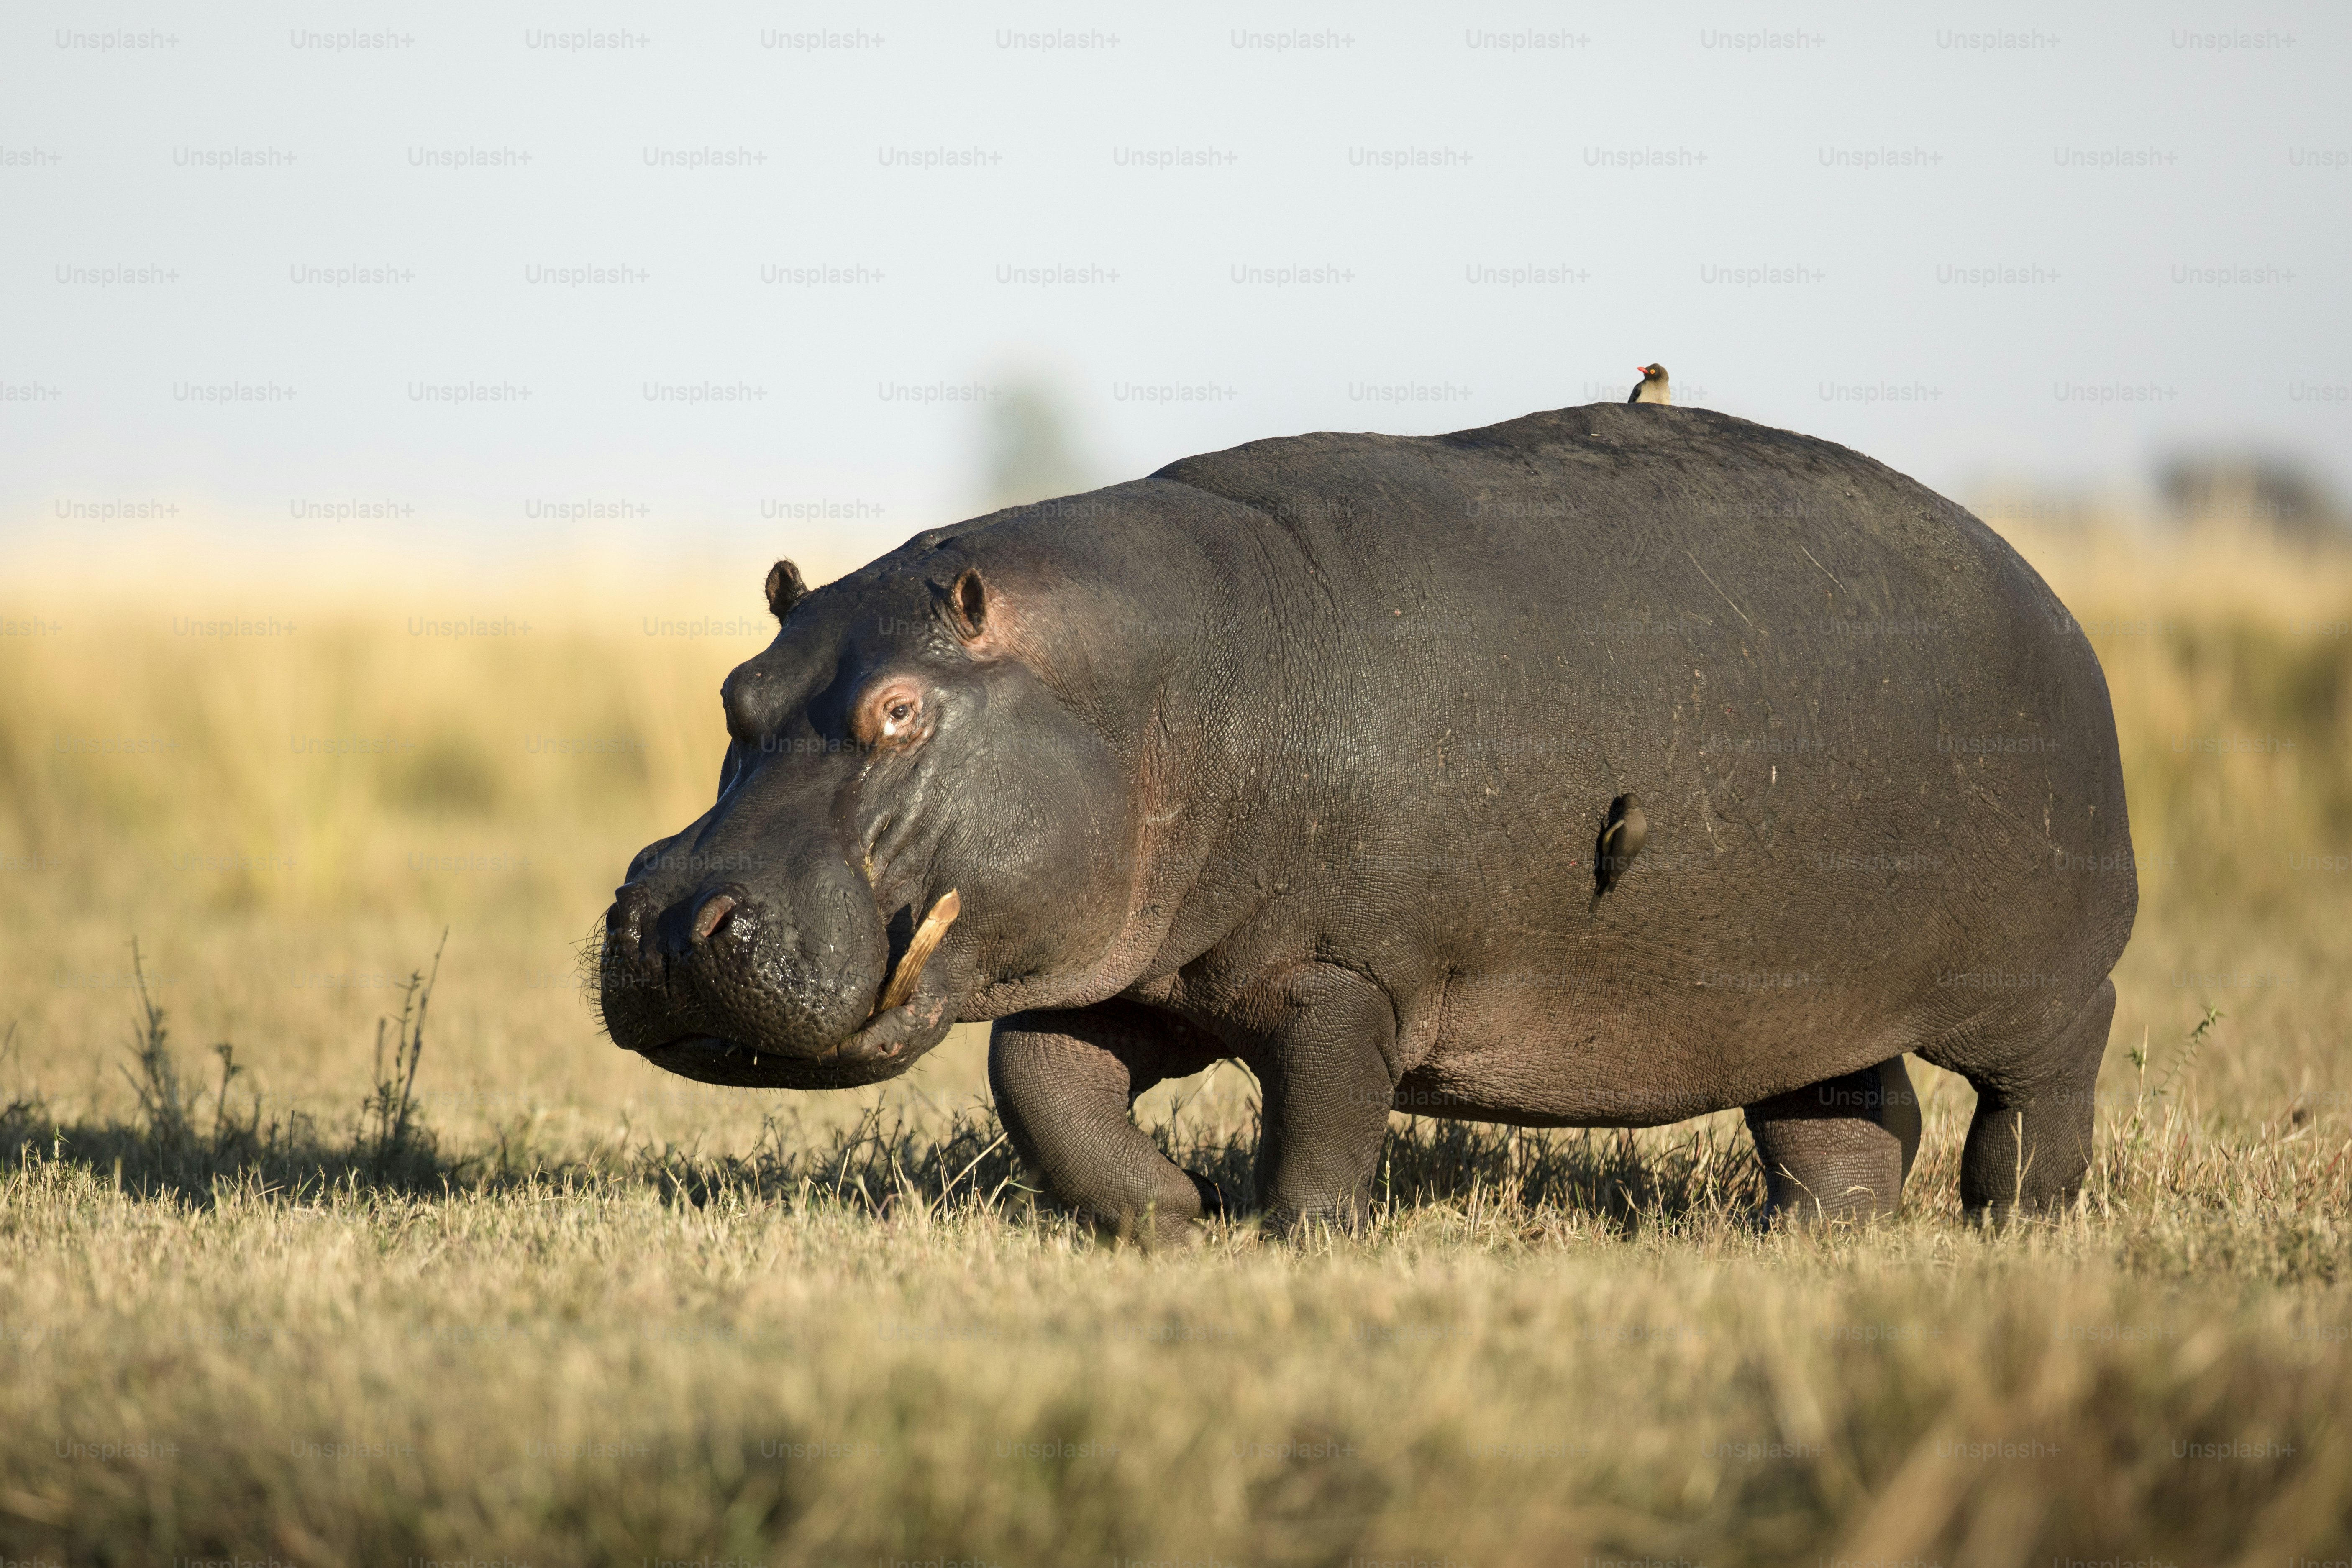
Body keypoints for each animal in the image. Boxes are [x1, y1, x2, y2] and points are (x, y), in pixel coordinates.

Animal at [600, 402, 2137, 1241]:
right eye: (737, 692)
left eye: (900, 710)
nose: (667, 920)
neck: (1162, 683)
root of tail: (2044, 585)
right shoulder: (1155, 968)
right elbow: (1040, 1080)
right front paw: (1169, 1218)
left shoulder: (1340, 974)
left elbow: (1325, 1113)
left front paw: (1293, 1236)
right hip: (1806, 987)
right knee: (1846, 1108)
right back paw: (1804, 1233)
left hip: (2032, 981)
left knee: (2041, 1083)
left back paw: (2014, 1215)